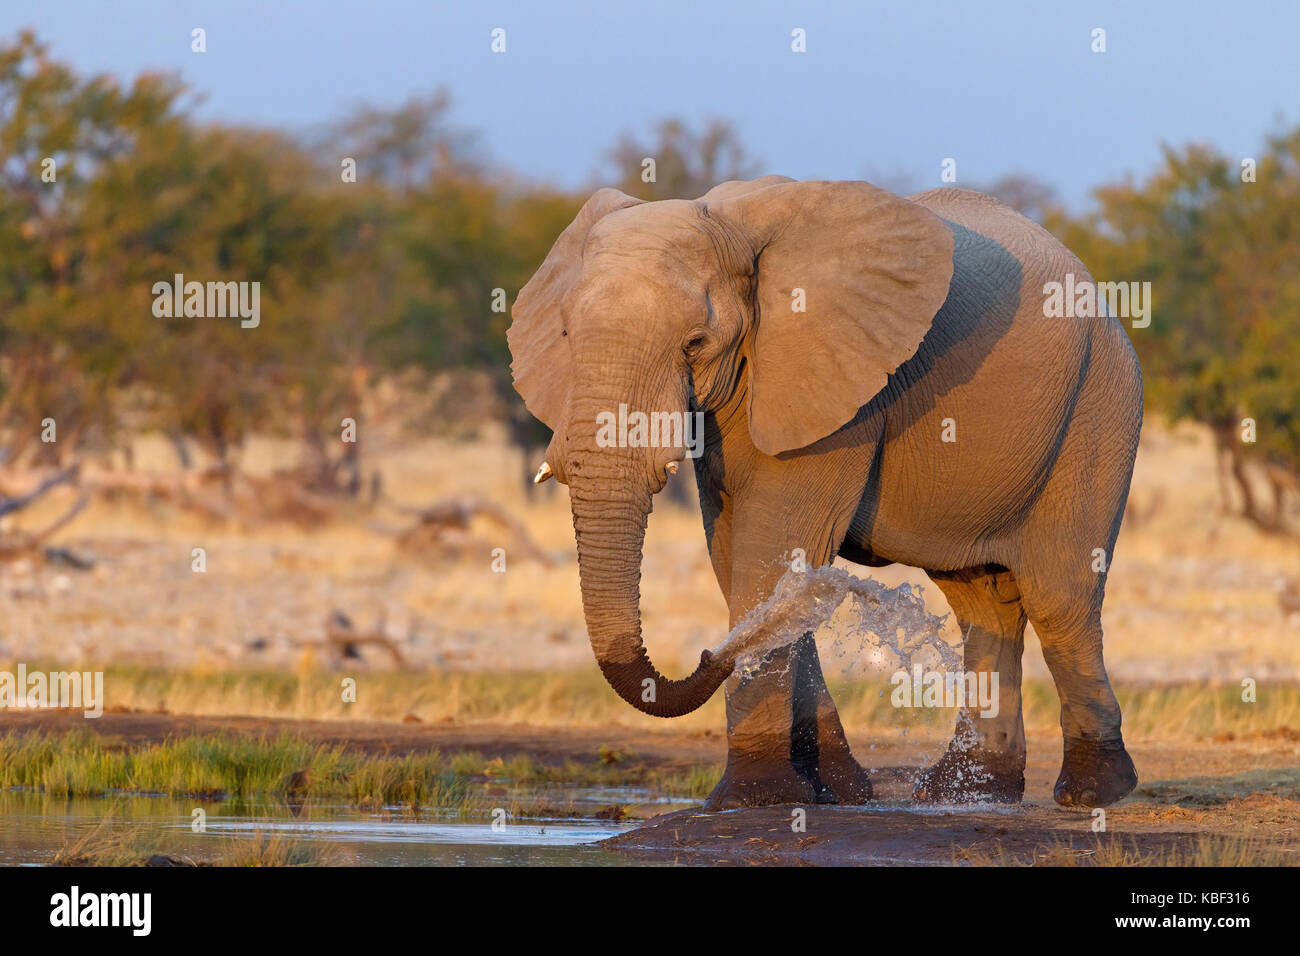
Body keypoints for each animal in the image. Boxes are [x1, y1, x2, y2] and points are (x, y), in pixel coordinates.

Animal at [508, 175, 1142, 810]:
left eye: (695, 342)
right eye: (566, 335)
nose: (711, 654)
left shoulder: (836, 390)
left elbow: (771, 549)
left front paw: (754, 798)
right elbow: (739, 556)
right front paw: (833, 789)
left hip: (1098, 405)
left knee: (1059, 597)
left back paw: (1093, 791)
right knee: (982, 604)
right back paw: (967, 792)